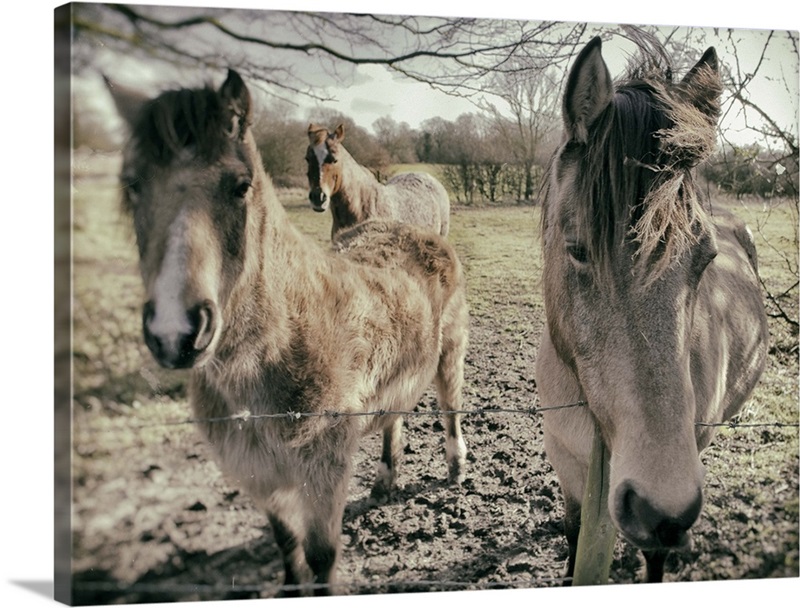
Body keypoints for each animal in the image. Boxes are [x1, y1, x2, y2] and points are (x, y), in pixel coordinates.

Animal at [536, 36, 769, 583]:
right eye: (578, 249)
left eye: (705, 258)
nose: (661, 508)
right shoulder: (564, 461)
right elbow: (574, 532)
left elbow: (654, 557)